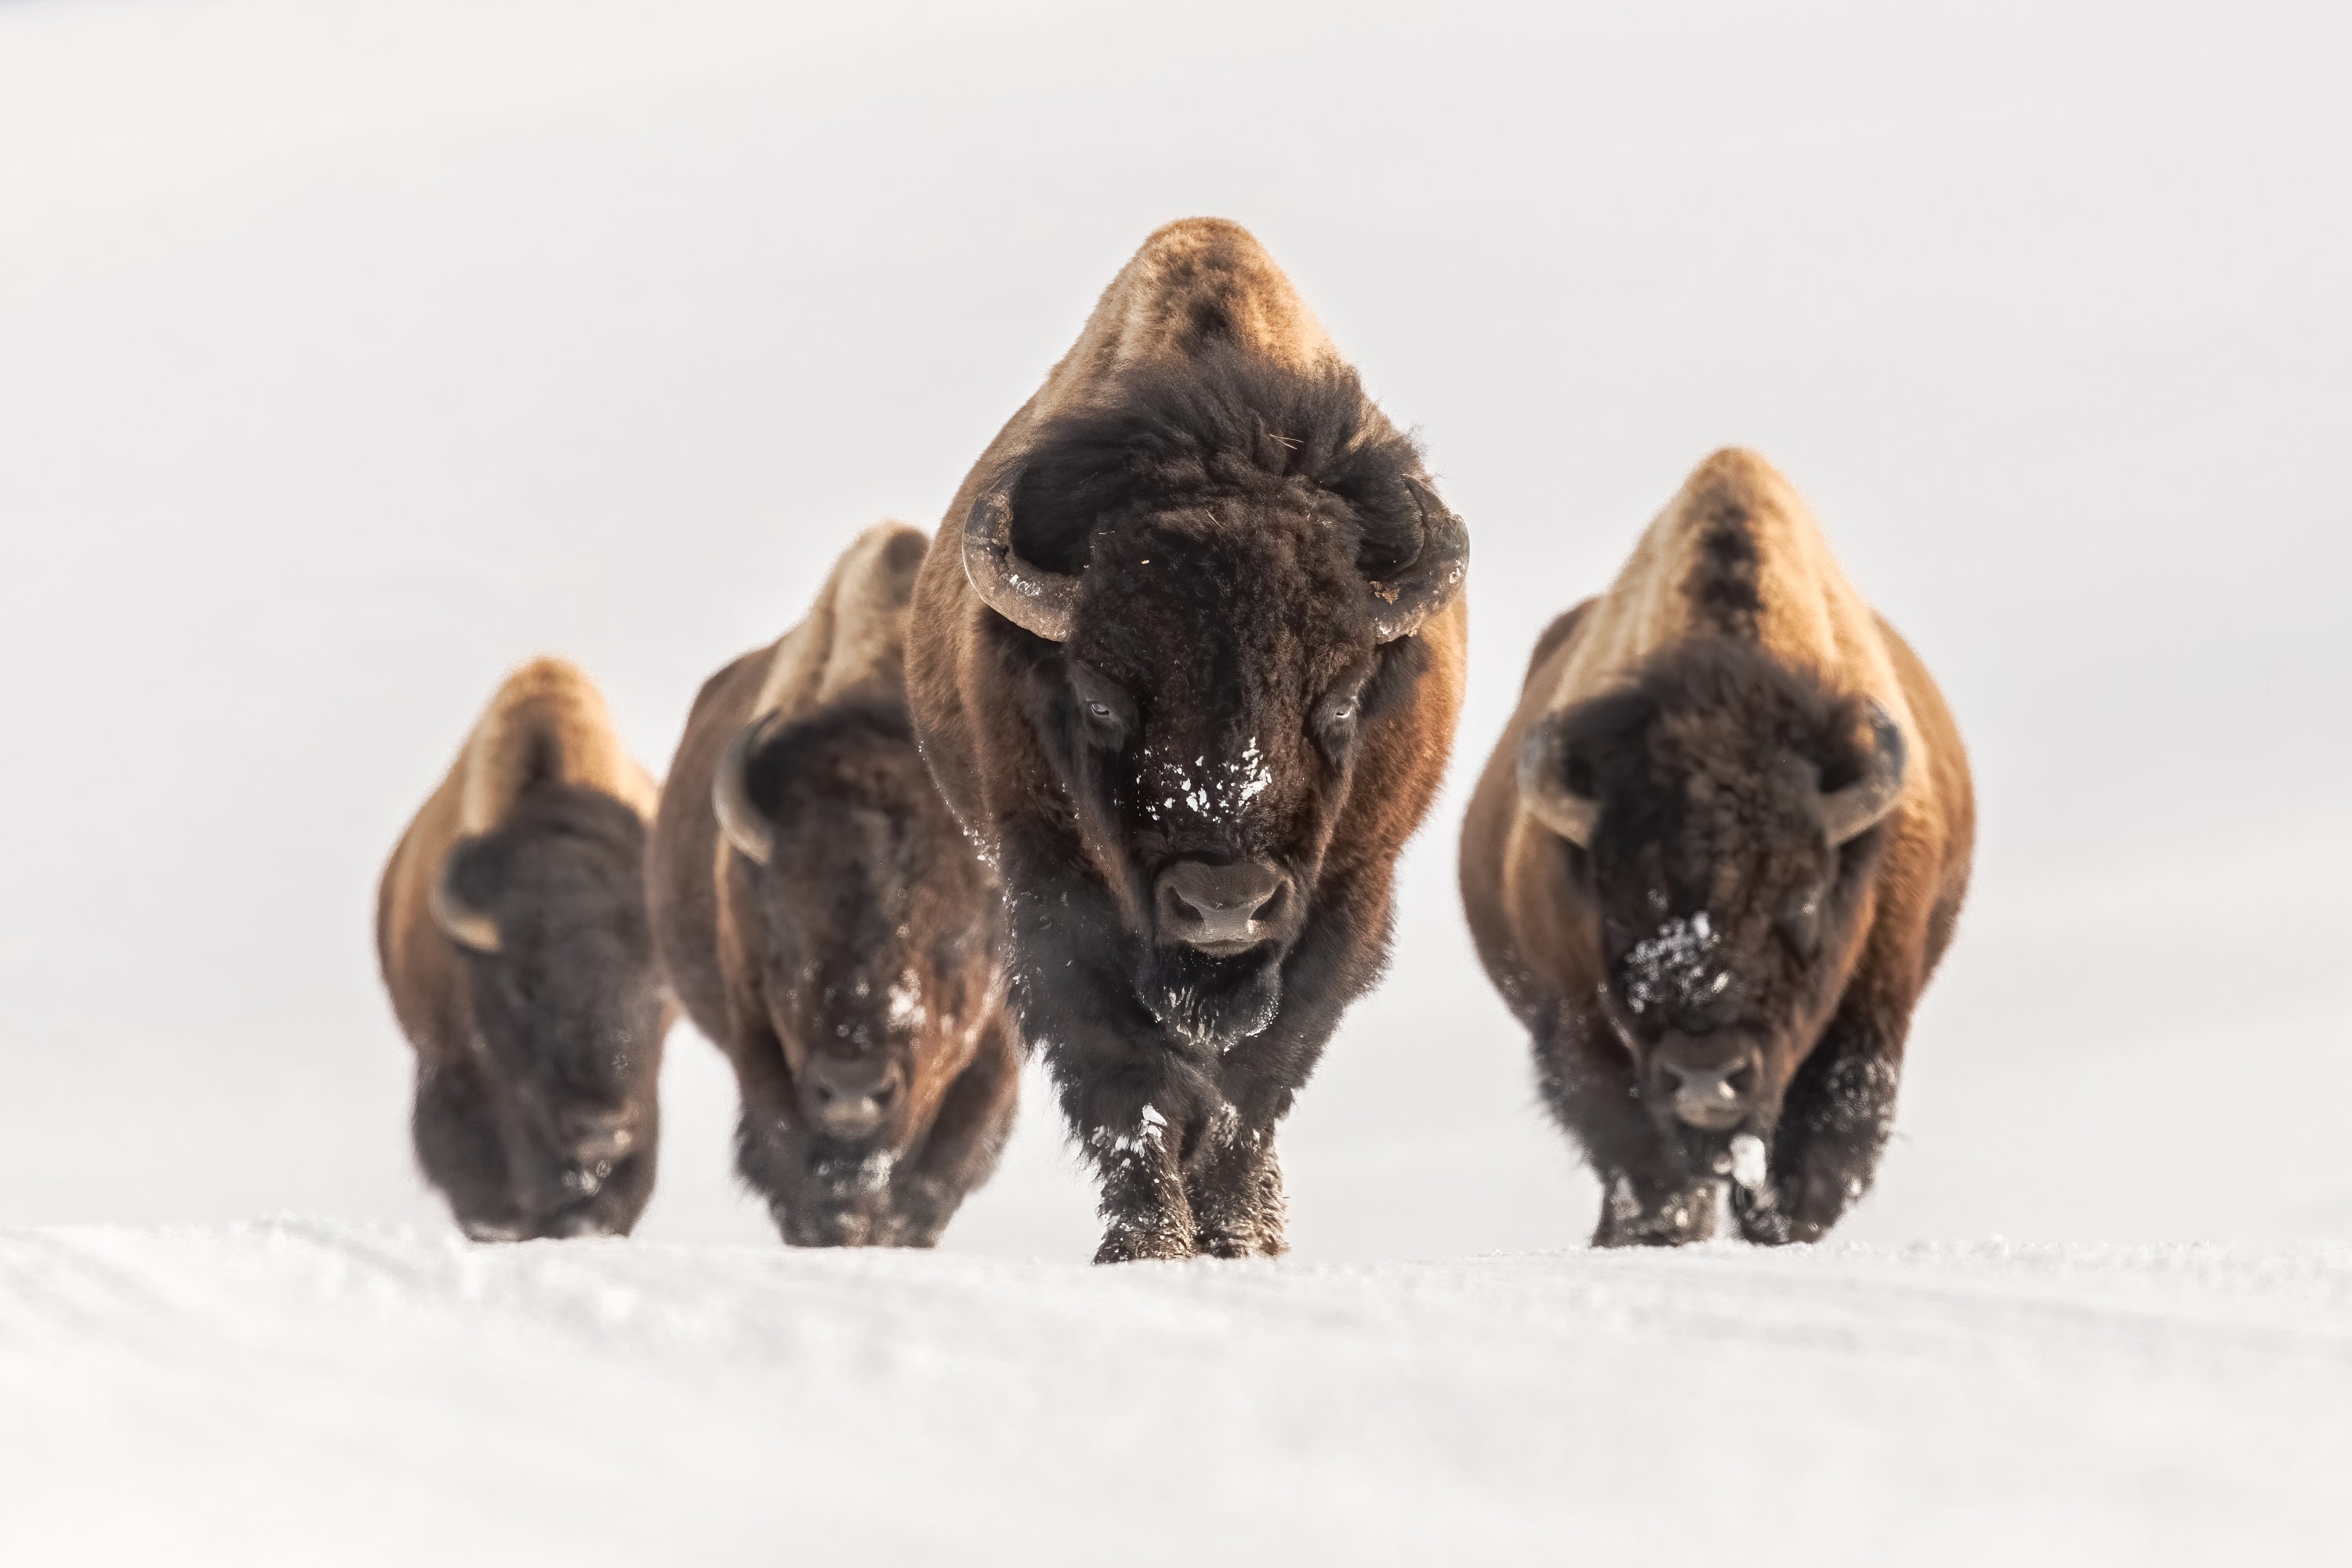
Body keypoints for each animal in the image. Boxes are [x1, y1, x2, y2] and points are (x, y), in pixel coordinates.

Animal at [905, 218, 1469, 1262]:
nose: (1223, 901)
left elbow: (1257, 1082)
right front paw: (1147, 1243)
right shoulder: (1054, 891)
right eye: (1099, 698)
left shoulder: (1348, 893)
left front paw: (1236, 1234)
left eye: (1341, 699)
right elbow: (1130, 1082)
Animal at [1460, 449, 1973, 1246]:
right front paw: (1656, 1228)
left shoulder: (1870, 1015)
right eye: (1616, 906)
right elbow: (1640, 1157)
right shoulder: (1575, 1020)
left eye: (1804, 898)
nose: (1706, 1077)